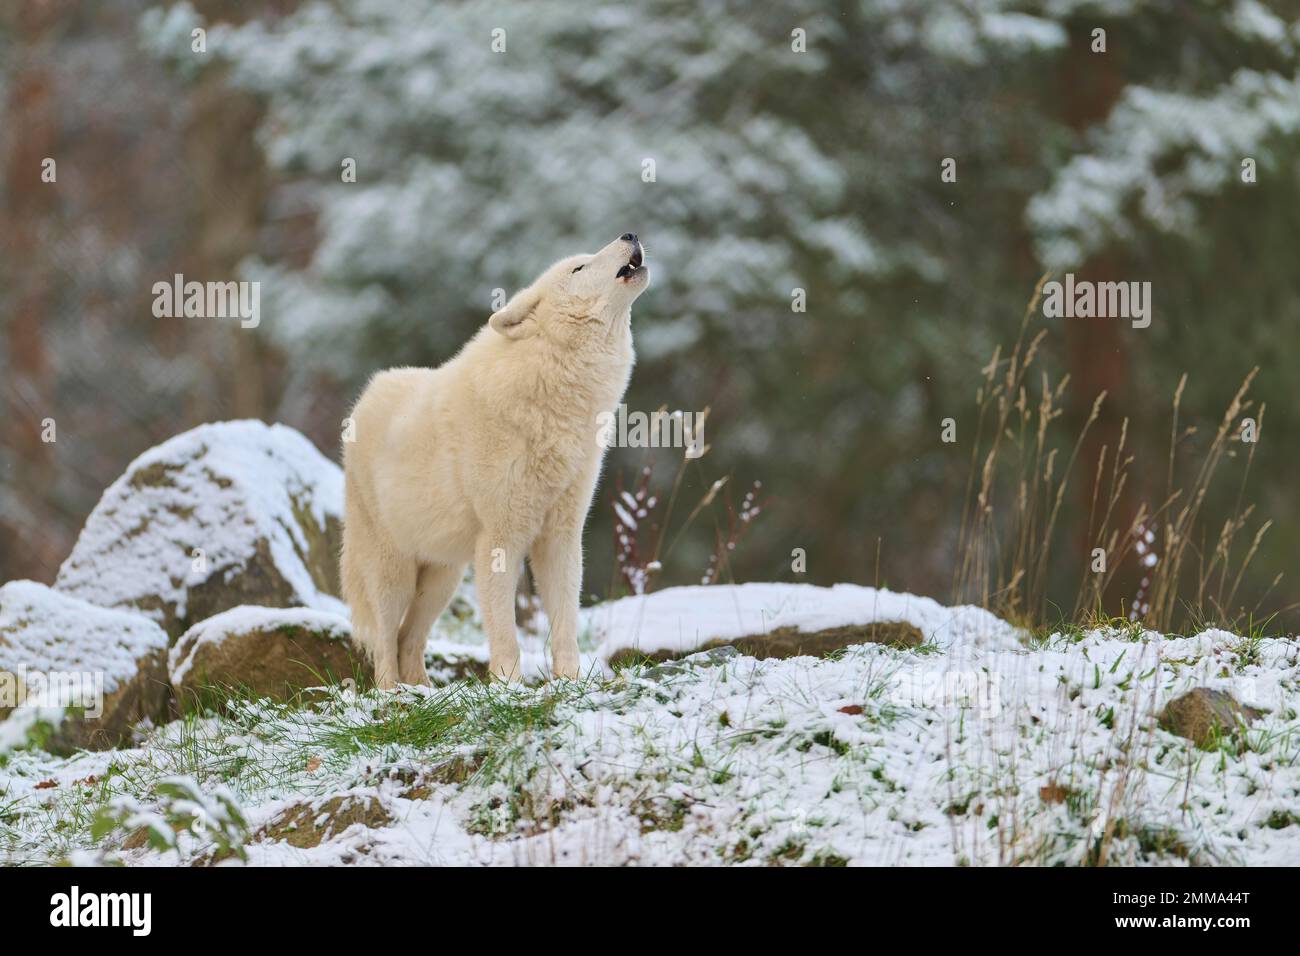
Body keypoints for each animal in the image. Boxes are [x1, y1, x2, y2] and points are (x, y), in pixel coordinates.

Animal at [341, 233, 649, 687]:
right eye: (579, 267)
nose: (630, 235)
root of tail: (366, 394)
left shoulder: (561, 537)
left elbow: (565, 626)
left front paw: (571, 683)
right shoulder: (500, 540)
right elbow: (506, 634)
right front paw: (509, 687)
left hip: (443, 577)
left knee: (407, 640)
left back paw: (423, 694)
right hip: (393, 573)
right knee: (383, 644)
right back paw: (391, 696)